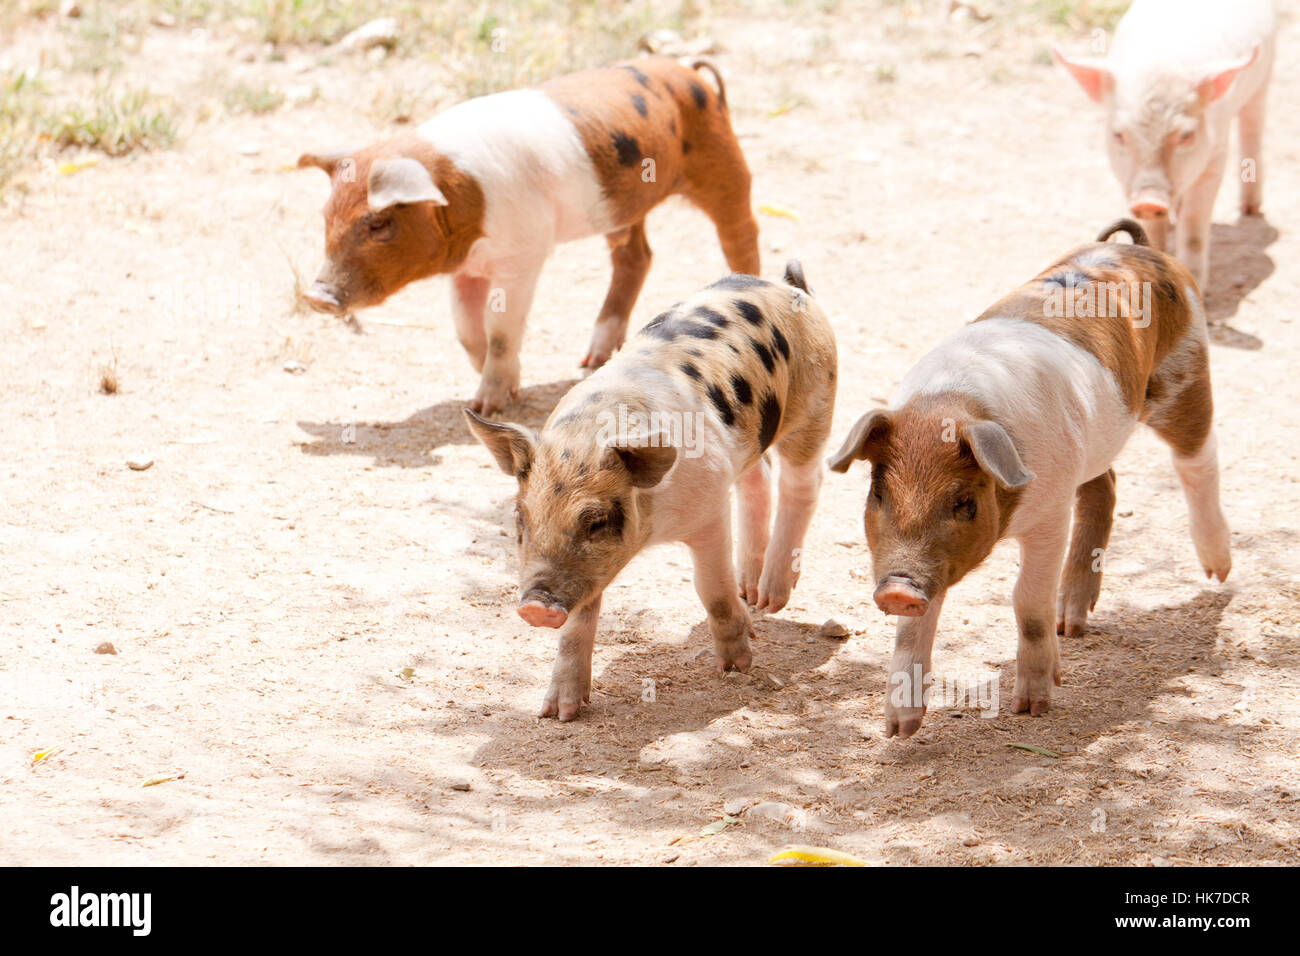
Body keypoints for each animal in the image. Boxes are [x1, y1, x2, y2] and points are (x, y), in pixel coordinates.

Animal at [297, 57, 760, 414]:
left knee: (741, 230)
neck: (460, 202)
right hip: (622, 211)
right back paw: (590, 363)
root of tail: (690, 72)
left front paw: (485, 408)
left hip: (723, 162)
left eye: (378, 224)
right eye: (326, 217)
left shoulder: (524, 254)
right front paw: (509, 388)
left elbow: (500, 329)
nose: (317, 296)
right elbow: (467, 329)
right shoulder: (468, 266)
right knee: (637, 256)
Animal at [465, 264, 836, 720]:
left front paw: (737, 666)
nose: (535, 605)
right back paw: (750, 593)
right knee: (758, 478)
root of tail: (784, 284)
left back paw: (770, 599)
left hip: (816, 403)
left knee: (803, 483)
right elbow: (579, 622)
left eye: (597, 521)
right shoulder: (590, 572)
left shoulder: (711, 509)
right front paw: (558, 713)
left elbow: (711, 590)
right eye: (521, 519)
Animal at [828, 220, 1230, 738]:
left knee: (1198, 457)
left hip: (1186, 374)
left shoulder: (1051, 513)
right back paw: (1071, 625)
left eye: (963, 503)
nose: (898, 588)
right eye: (878, 494)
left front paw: (1032, 707)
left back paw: (1217, 571)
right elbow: (916, 623)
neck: (952, 405)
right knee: (1107, 483)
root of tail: (1139, 250)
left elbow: (1026, 599)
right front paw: (899, 729)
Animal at [1054, 0, 1275, 289]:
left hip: (1264, 76)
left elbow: (1194, 226)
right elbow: (1150, 229)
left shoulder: (1216, 152)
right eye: (1119, 135)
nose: (1149, 200)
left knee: (1253, 129)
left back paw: (1250, 209)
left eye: (1185, 135)